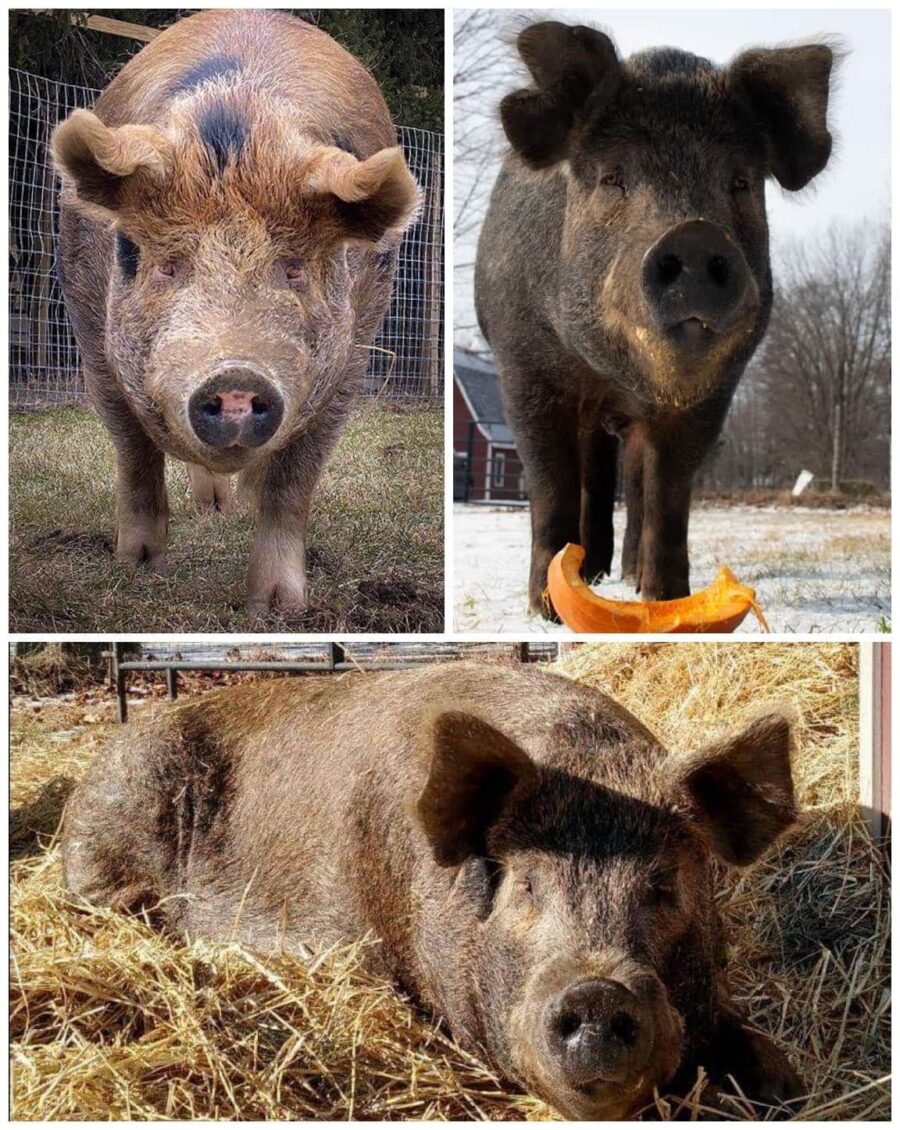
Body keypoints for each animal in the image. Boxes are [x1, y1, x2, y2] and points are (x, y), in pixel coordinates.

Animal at [51, 10, 419, 617]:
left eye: (293, 268)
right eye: (164, 264)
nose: (236, 376)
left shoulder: (353, 359)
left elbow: (295, 481)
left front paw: (277, 609)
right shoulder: (92, 339)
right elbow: (134, 454)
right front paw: (138, 568)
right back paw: (212, 511)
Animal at [474, 22, 836, 613]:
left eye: (740, 181)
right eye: (612, 177)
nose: (694, 234)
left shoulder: (713, 394)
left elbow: (668, 490)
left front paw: (666, 601)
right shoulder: (522, 362)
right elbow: (551, 481)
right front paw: (547, 610)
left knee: (636, 481)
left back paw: (628, 576)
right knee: (596, 478)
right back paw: (593, 573)